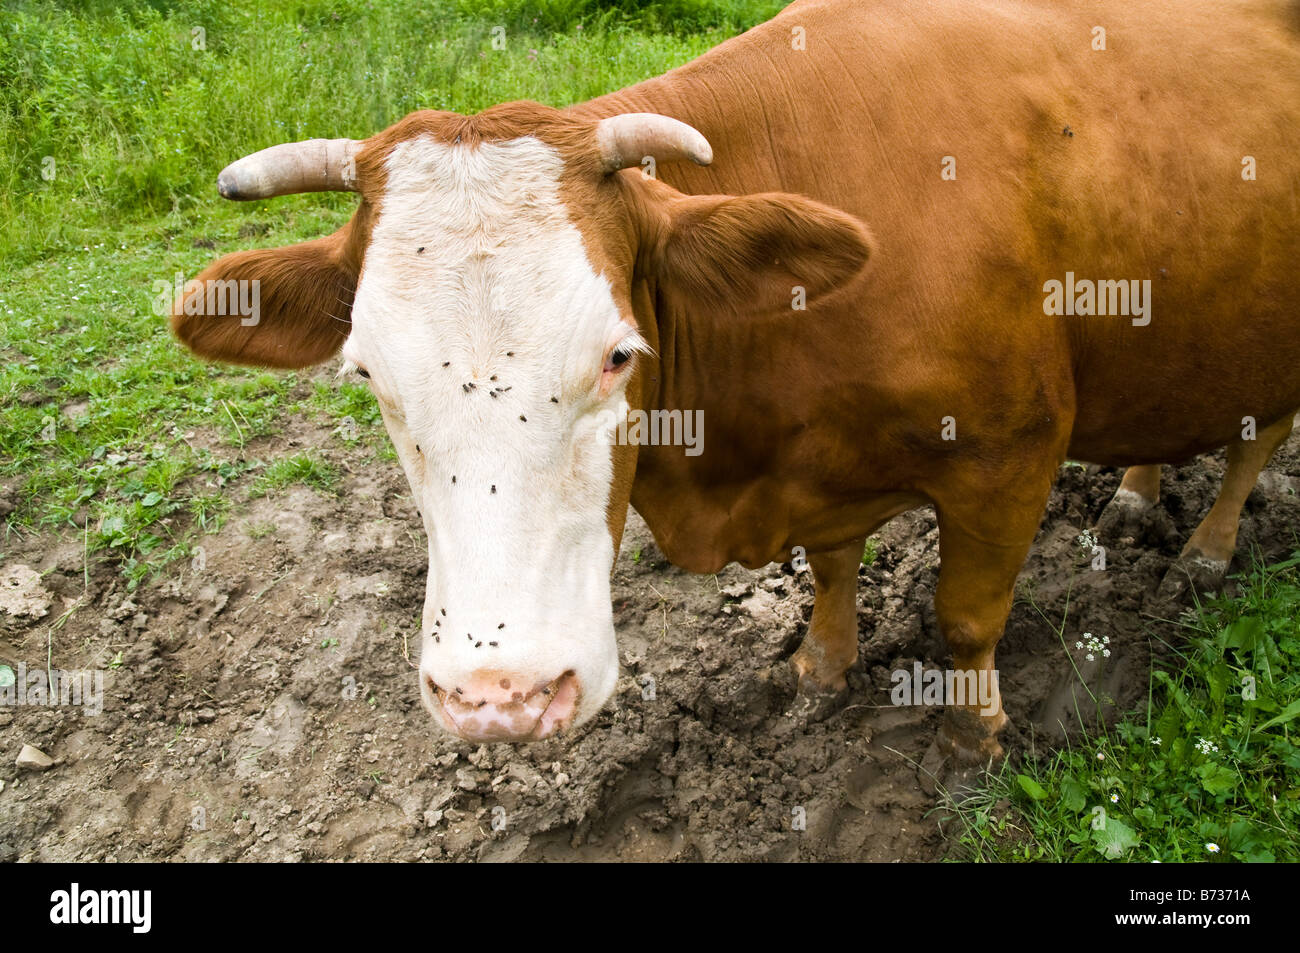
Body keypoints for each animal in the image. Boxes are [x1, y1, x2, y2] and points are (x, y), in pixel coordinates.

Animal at [171, 0, 1300, 776]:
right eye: (366, 370)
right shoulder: (823, 471)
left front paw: (970, 733)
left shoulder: (1009, 450)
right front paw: (822, 664)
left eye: (618, 354)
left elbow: (968, 615)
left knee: (1259, 433)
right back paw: (1138, 495)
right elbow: (834, 565)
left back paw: (1206, 550)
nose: (500, 693)